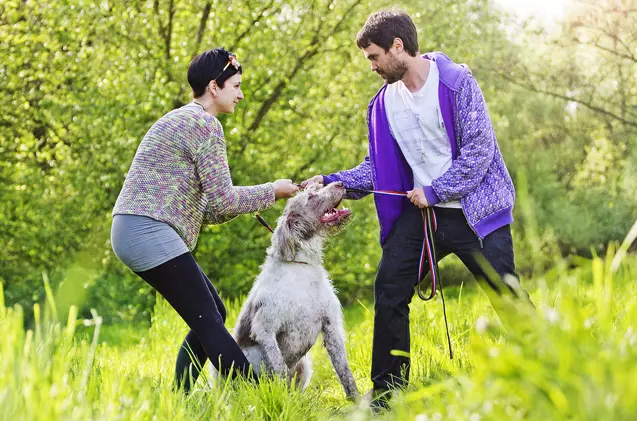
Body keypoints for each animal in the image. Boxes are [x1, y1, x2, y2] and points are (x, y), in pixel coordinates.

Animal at [230, 180, 360, 398]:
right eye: (311, 197)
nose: (340, 183)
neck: (302, 266)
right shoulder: (264, 328)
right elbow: (280, 369)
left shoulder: (331, 326)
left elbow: (345, 372)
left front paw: (359, 402)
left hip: (304, 365)